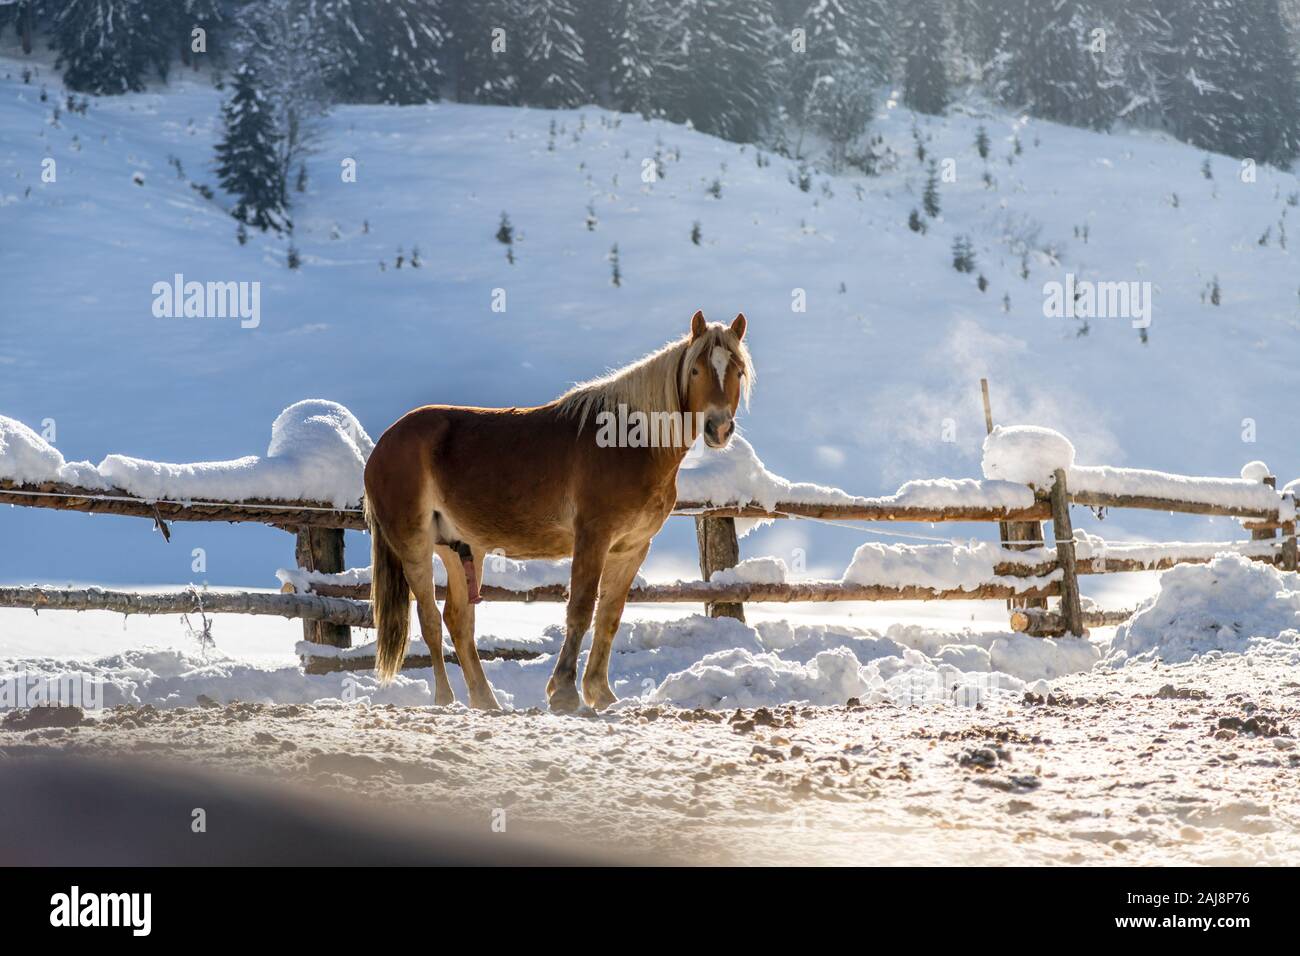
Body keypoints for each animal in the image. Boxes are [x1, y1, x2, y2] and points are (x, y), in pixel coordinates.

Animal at [362, 310, 754, 712]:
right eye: (696, 370)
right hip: (415, 545)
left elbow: (609, 616)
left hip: (460, 549)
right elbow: (580, 609)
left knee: (458, 621)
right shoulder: (593, 537)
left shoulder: (631, 548)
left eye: (738, 370)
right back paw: (445, 700)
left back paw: (486, 701)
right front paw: (564, 692)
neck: (629, 443)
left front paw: (601, 694)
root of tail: (385, 444)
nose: (719, 427)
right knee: (429, 619)